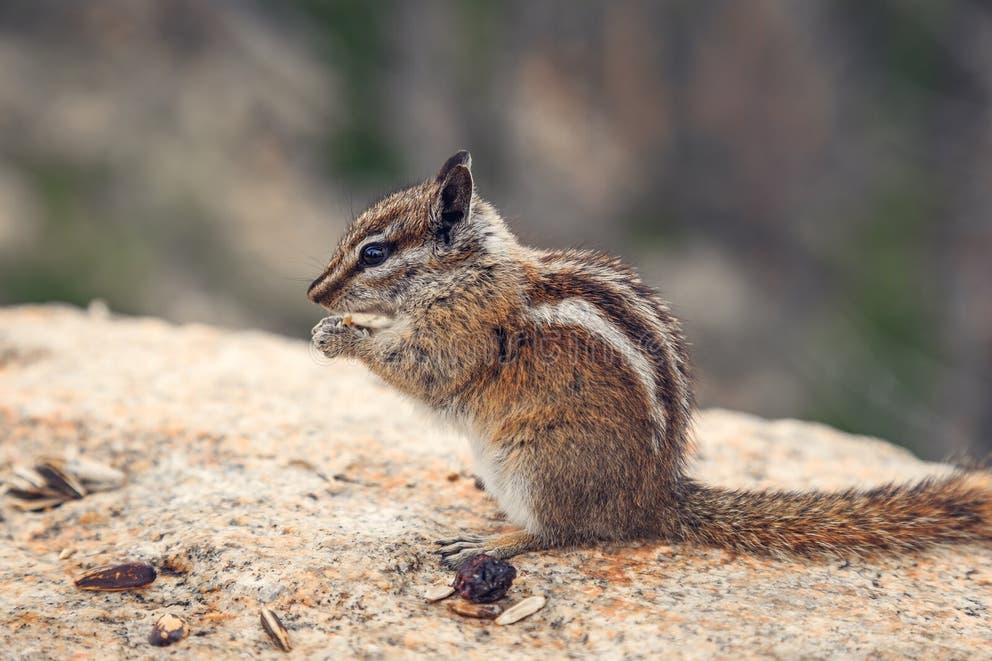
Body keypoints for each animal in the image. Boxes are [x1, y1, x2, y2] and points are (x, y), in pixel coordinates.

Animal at [308, 150, 992, 567]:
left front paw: (339, 336)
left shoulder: (461, 336)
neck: (471, 274)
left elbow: (421, 371)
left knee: (557, 534)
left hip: (536, 463)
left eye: (374, 253)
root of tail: (653, 499)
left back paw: (492, 540)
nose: (314, 292)